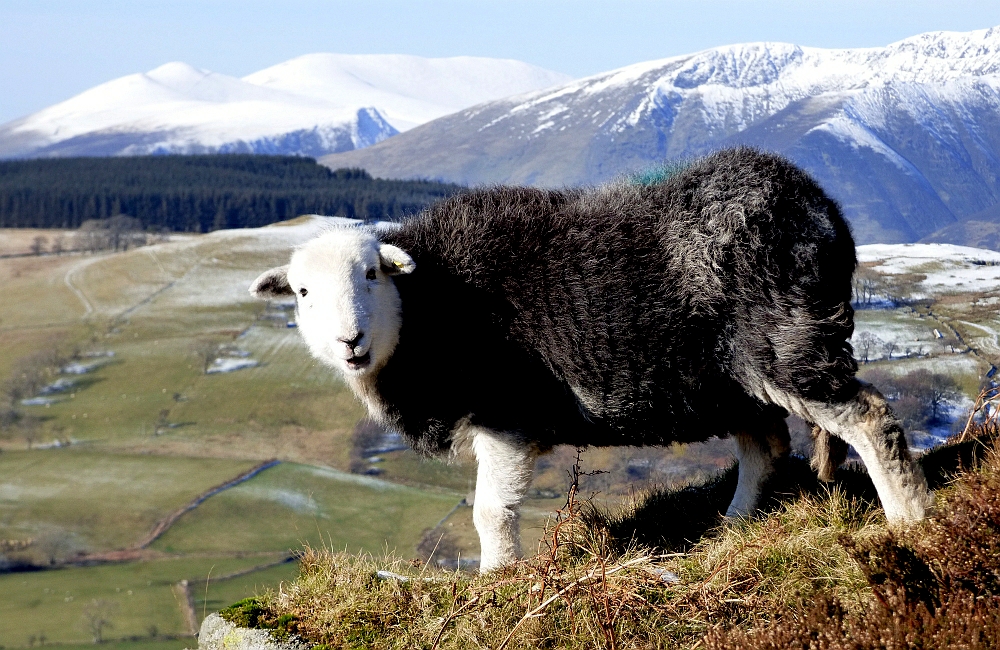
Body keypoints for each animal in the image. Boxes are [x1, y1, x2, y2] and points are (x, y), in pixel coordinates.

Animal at [250, 147, 932, 573]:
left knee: (870, 419)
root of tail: (824, 209)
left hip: (786, 340)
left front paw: (496, 583)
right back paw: (731, 529)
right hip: (732, 375)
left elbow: (490, 513)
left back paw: (911, 521)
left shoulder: (505, 415)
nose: (349, 341)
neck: (432, 308)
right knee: (765, 446)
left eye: (371, 274)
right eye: (303, 292)